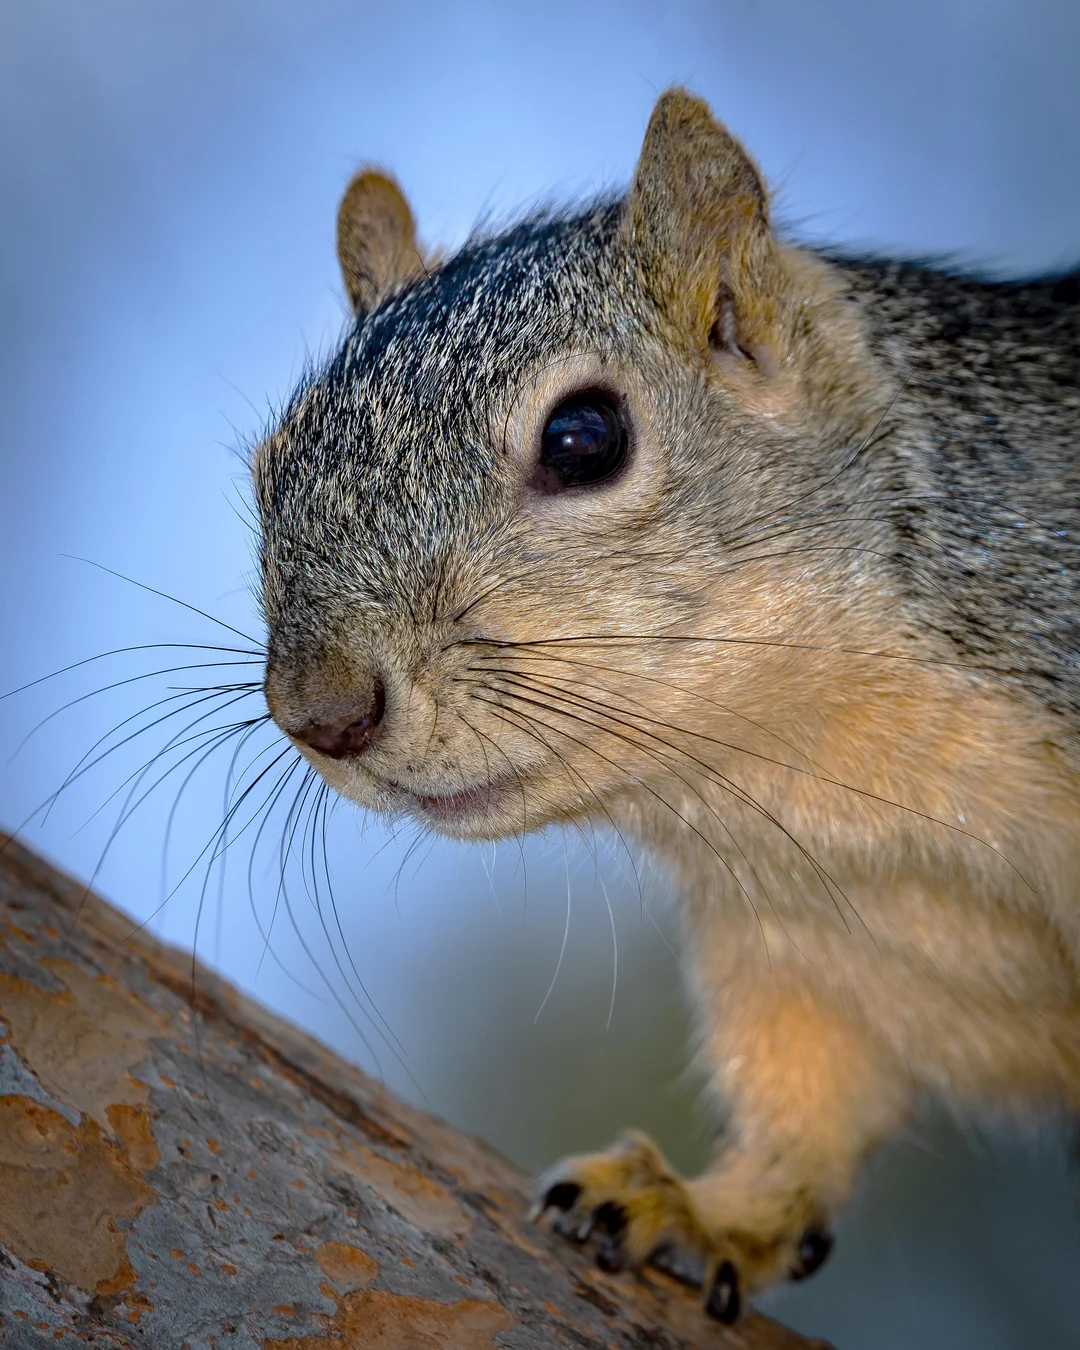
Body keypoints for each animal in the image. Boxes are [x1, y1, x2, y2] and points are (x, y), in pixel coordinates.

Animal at [253, 89, 1080, 1324]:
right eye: (271, 470)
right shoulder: (798, 954)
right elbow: (805, 1118)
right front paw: (705, 1208)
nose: (323, 711)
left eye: (584, 437)